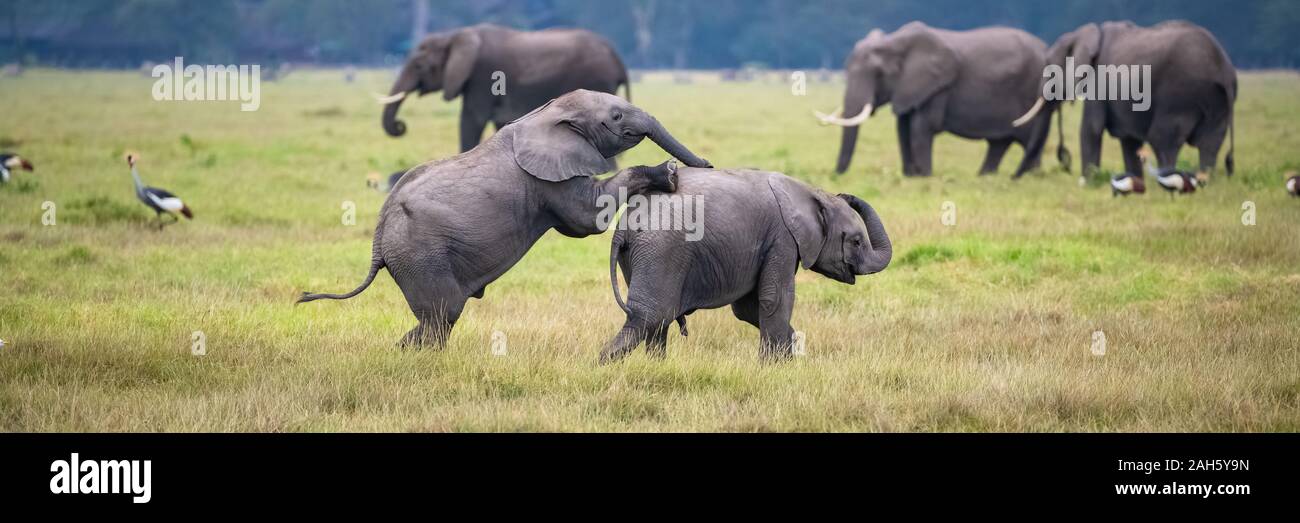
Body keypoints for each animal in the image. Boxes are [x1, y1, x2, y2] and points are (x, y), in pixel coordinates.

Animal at [299, 90, 711, 348]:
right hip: (419, 254)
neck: (546, 114)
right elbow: (588, 219)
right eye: (616, 115)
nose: (706, 164)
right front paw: (667, 173)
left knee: (435, 318)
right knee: (443, 314)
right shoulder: (546, 179)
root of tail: (377, 242)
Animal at [379, 24, 631, 153]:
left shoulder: (483, 76)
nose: (400, 126)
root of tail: (617, 56)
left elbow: (471, 119)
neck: (453, 36)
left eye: (419, 66)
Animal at [600, 168, 892, 363]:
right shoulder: (783, 239)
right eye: (855, 241)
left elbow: (747, 309)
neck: (810, 193)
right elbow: (775, 298)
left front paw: (790, 353)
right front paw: (774, 367)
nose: (846, 194)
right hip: (662, 250)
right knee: (650, 316)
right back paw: (605, 365)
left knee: (657, 320)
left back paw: (656, 367)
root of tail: (623, 226)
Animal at [817, 22, 1067, 178]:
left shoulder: (935, 87)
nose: (835, 175)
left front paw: (924, 176)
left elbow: (920, 129)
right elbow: (902, 130)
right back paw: (985, 176)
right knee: (999, 144)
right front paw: (911, 176)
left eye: (878, 74)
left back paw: (1029, 176)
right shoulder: (909, 89)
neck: (895, 41)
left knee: (1028, 139)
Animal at [1012, 21, 1236, 180]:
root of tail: (1222, 69)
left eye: (1049, 65)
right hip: (1216, 101)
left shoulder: (1099, 78)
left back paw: (1168, 181)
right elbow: (1130, 140)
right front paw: (1133, 182)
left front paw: (1087, 182)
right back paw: (1205, 182)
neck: (1088, 34)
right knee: (1210, 143)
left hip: (1180, 93)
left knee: (1163, 139)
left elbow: (1091, 128)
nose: (1012, 178)